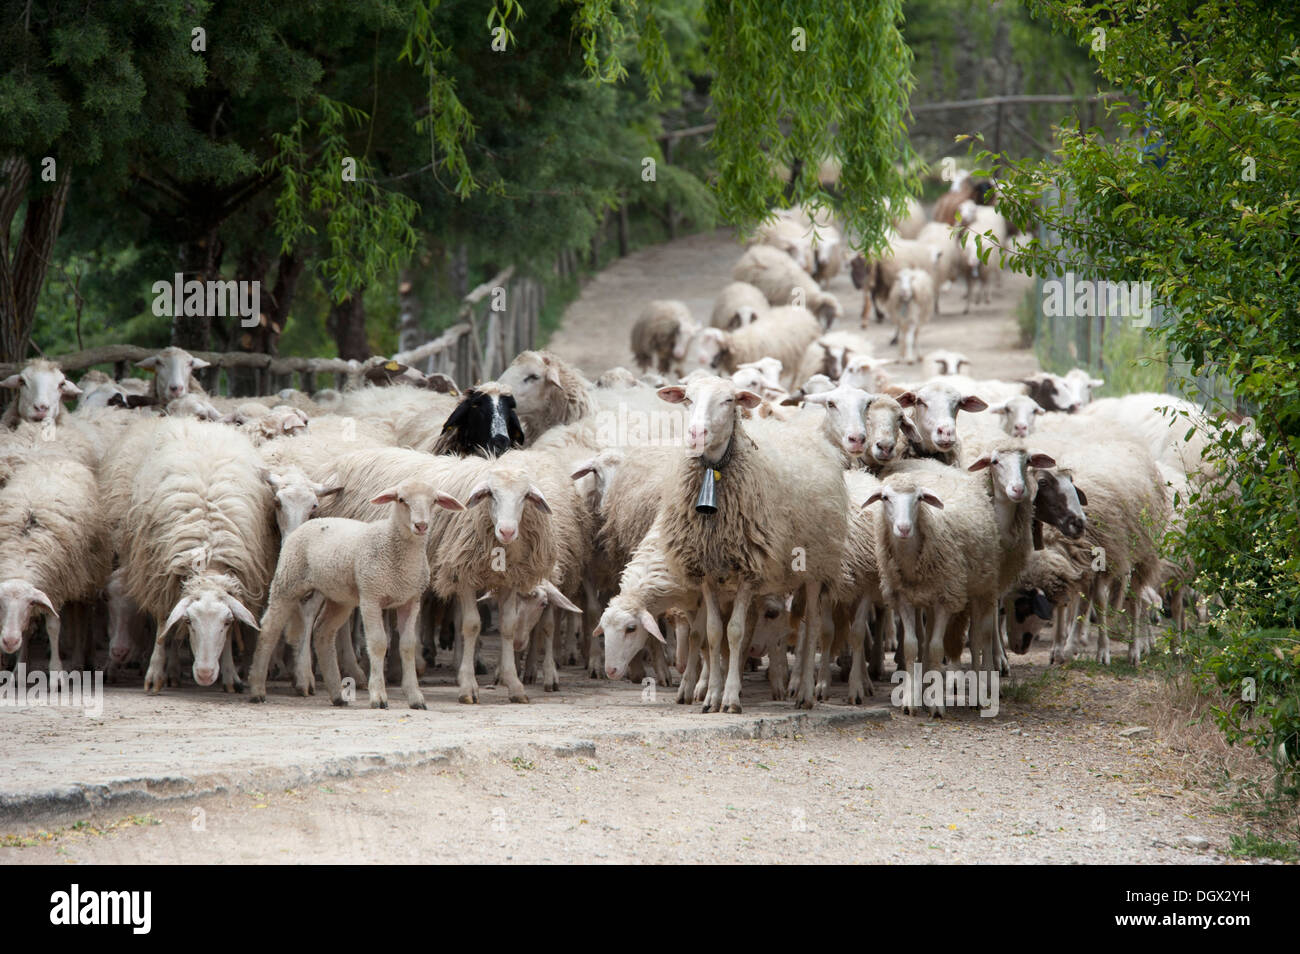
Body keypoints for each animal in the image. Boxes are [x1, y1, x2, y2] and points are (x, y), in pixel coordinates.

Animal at [0, 453, 111, 673]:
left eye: (26, 603)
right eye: (1, 604)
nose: (9, 642)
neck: (22, 554)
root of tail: (57, 460)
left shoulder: (55, 587)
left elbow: (53, 626)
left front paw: (56, 672)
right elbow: (27, 629)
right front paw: (19, 669)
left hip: (86, 574)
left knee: (82, 616)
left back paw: (80, 659)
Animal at [116, 418, 276, 692]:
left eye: (227, 622)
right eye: (190, 621)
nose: (204, 674)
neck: (209, 557)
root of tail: (203, 424)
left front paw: (230, 675)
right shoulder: (161, 576)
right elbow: (164, 625)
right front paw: (155, 673)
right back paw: (171, 671)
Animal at [249, 478, 465, 708]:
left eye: (434, 501)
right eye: (401, 499)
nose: (421, 525)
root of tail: (307, 523)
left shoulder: (410, 600)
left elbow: (407, 646)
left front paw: (415, 697)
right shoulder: (371, 597)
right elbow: (378, 643)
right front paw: (378, 696)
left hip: (339, 598)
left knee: (323, 632)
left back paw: (337, 695)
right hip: (288, 581)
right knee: (270, 628)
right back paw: (257, 688)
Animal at [654, 375, 848, 712]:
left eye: (728, 400)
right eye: (687, 399)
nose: (696, 434)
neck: (715, 473)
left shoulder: (748, 567)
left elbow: (735, 632)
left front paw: (730, 698)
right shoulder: (708, 572)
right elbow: (714, 633)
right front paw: (712, 696)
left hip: (816, 565)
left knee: (811, 629)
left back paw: (805, 693)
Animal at [676, 306, 822, 389]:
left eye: (716, 344)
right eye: (700, 343)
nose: (702, 359)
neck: (740, 345)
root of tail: (803, 311)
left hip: (802, 358)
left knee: (797, 375)